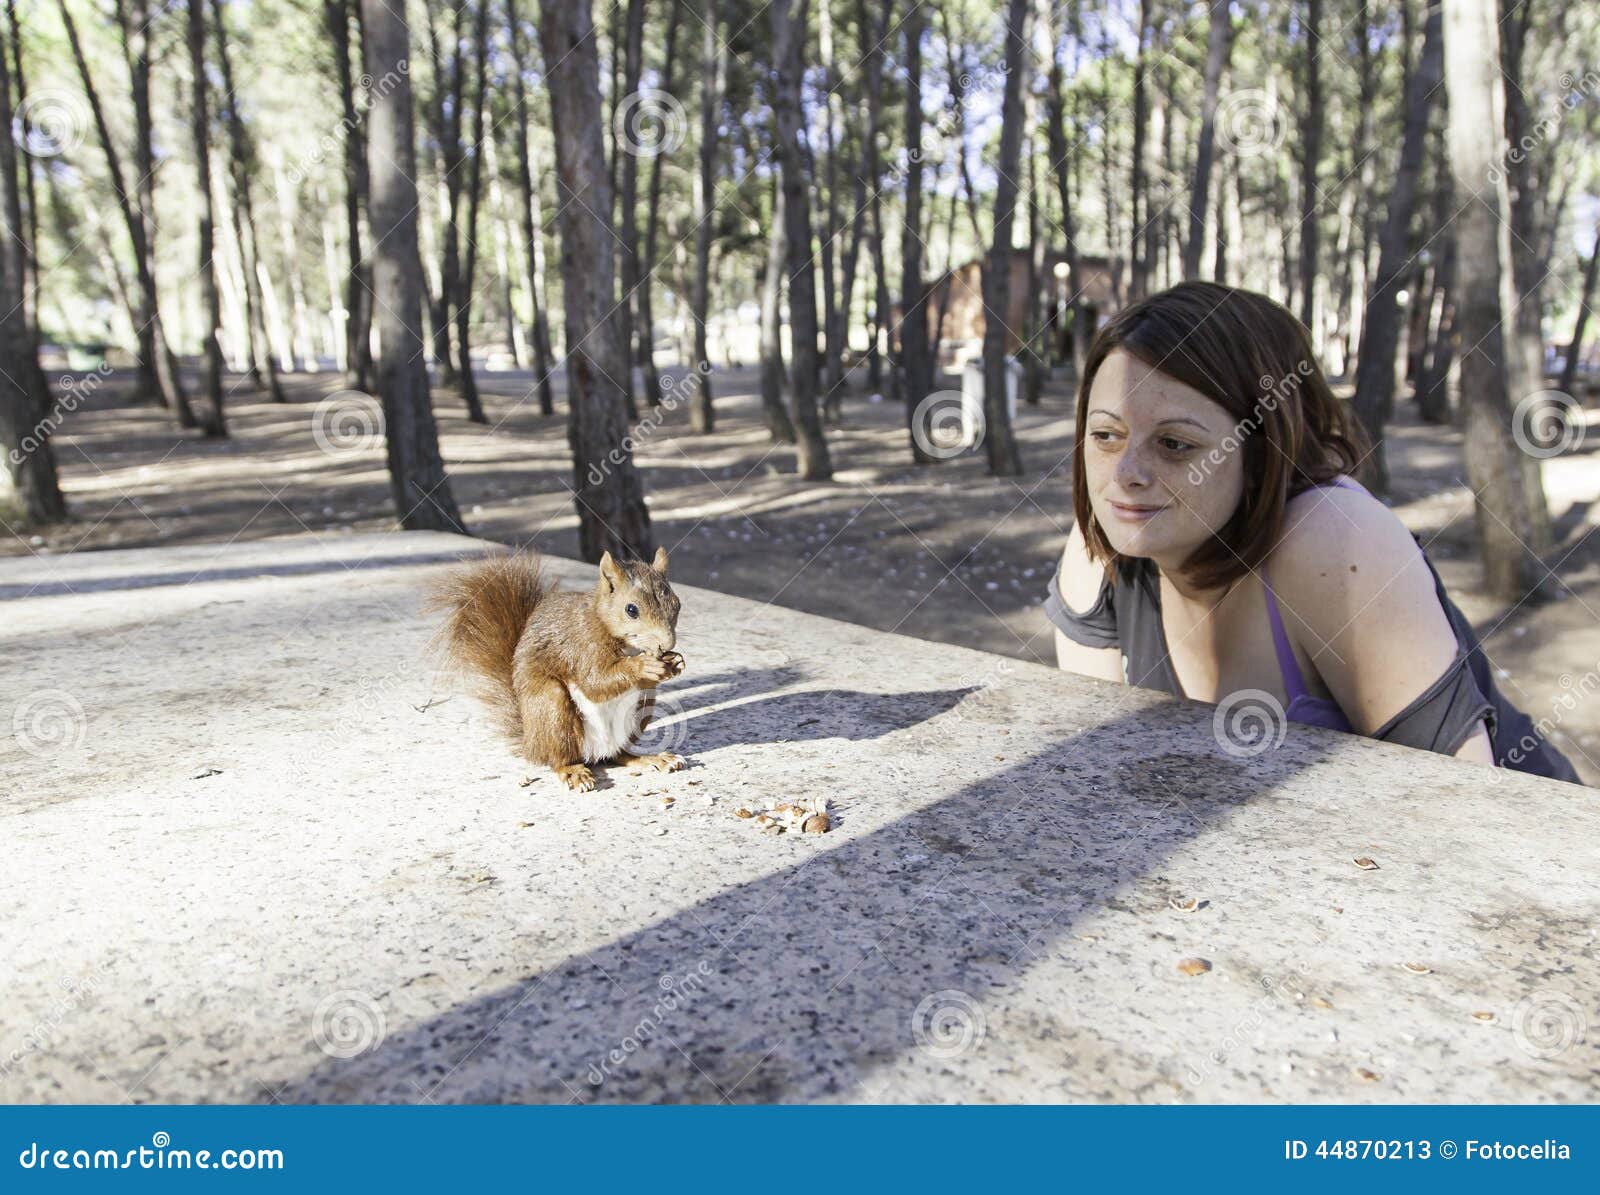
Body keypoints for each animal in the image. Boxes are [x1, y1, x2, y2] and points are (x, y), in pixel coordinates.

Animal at [431, 547, 685, 791]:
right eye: (631, 610)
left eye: (677, 604)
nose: (667, 644)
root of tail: (531, 744)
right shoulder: (581, 643)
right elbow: (595, 682)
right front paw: (643, 665)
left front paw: (675, 662)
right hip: (551, 707)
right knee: (560, 757)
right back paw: (573, 772)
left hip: (642, 707)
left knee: (618, 754)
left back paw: (651, 759)